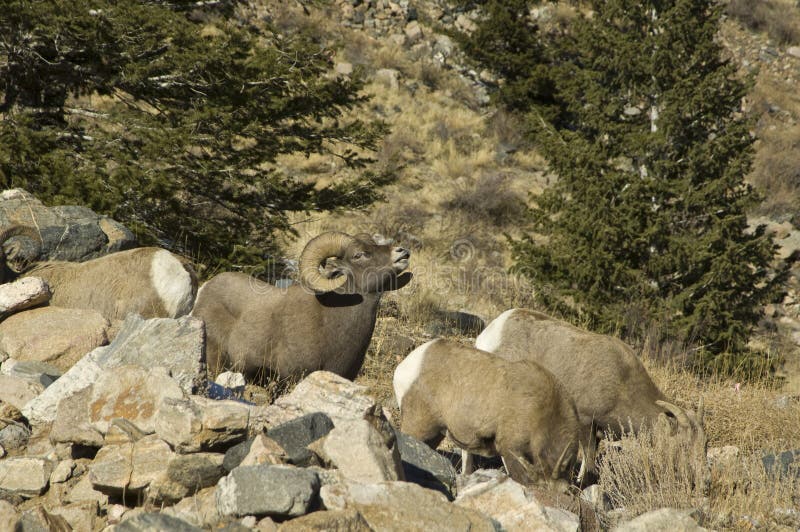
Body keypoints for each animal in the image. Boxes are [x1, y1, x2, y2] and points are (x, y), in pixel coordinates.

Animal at [475, 308, 705, 472]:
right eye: (683, 446)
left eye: (703, 445)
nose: (699, 479)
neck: (621, 383)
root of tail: (490, 334)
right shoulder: (586, 423)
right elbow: (589, 464)